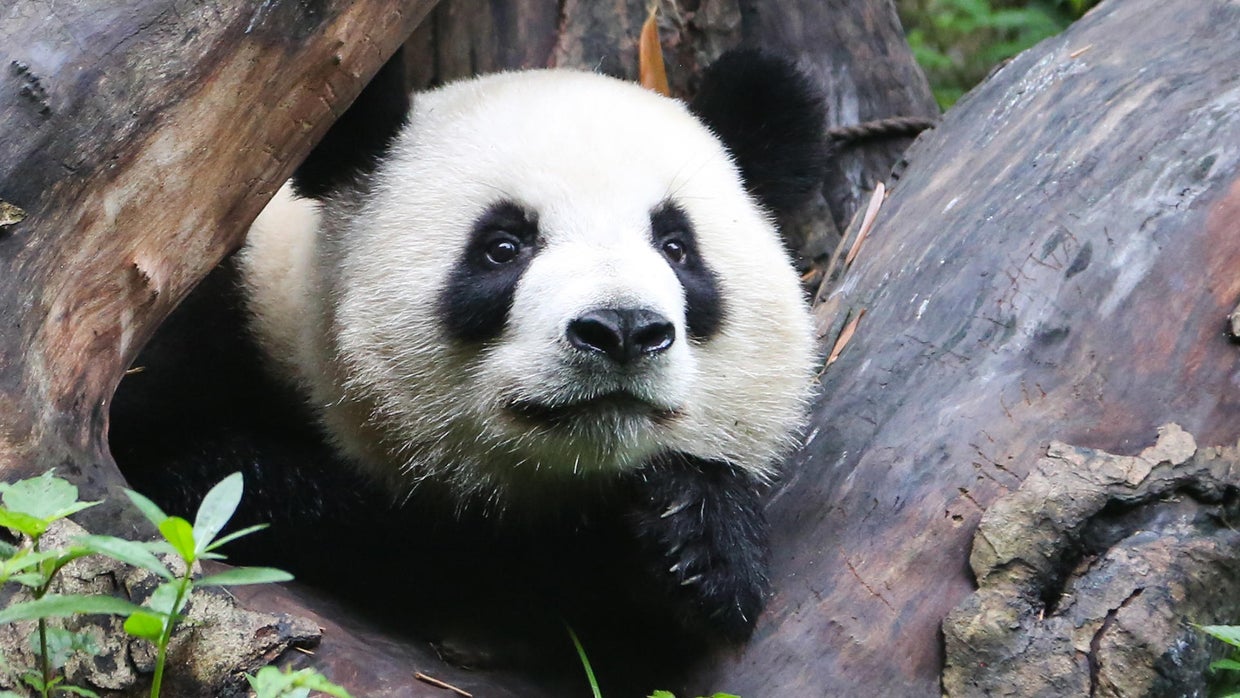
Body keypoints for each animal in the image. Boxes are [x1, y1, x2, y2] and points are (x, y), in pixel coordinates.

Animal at [110, 48, 826, 656]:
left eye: (677, 247)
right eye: (502, 247)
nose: (621, 329)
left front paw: (701, 542)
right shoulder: (207, 336)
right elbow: (221, 487)